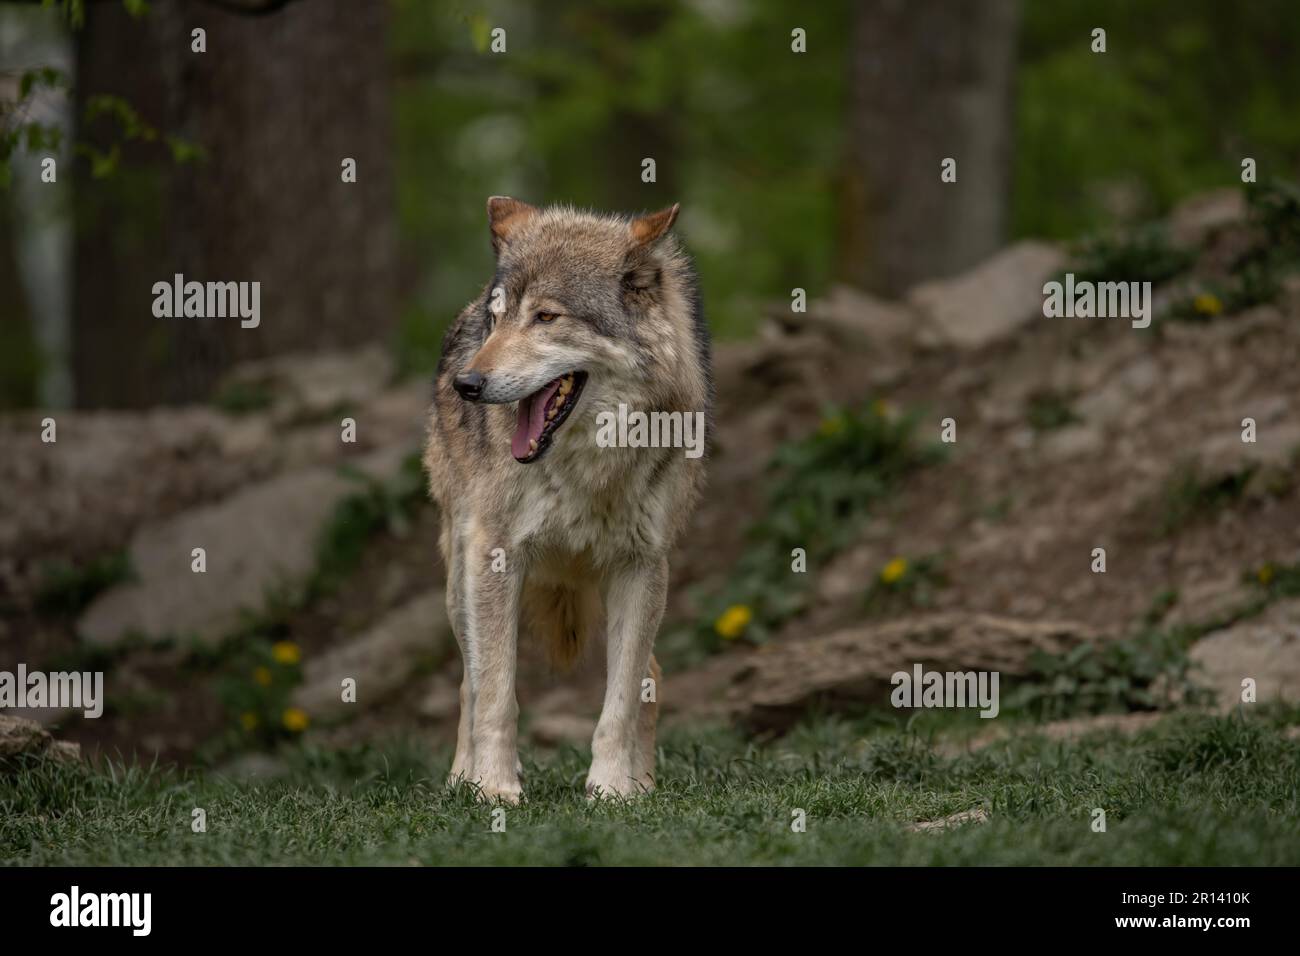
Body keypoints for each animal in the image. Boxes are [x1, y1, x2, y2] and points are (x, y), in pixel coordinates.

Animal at [423, 197, 711, 802]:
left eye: (546, 318)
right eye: (498, 319)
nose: (467, 384)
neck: (588, 470)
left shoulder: (642, 565)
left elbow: (619, 703)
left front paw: (613, 791)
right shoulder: (495, 557)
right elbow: (497, 694)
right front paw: (495, 789)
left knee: (651, 674)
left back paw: (645, 783)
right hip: (460, 583)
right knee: (467, 685)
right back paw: (460, 780)